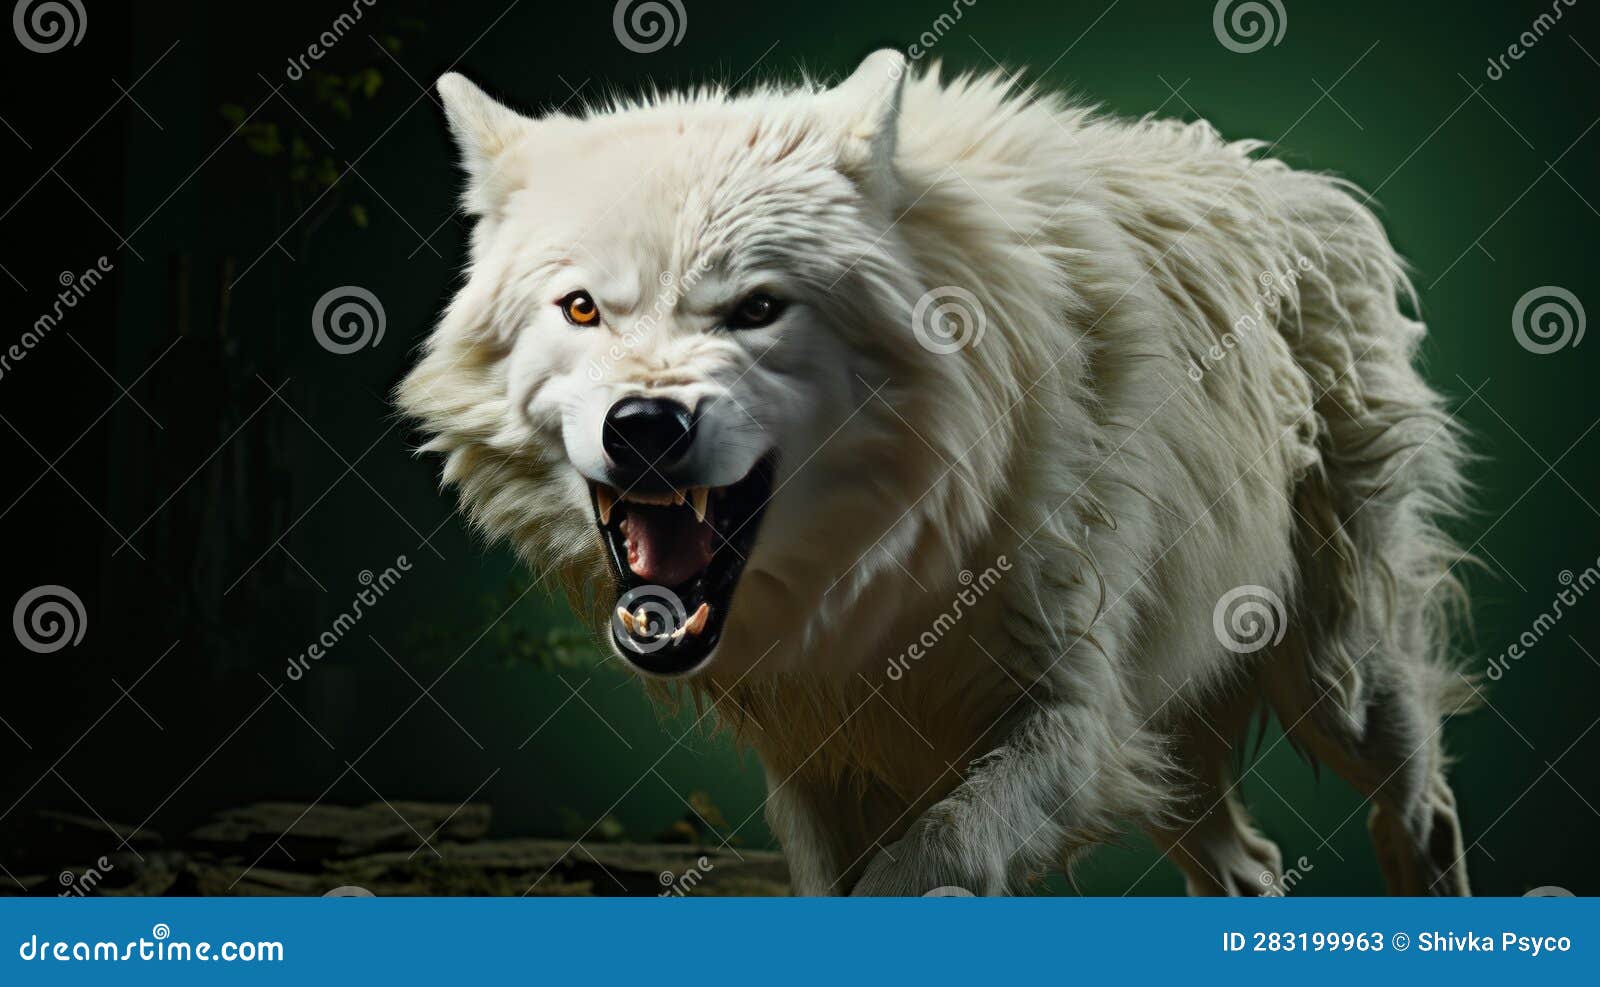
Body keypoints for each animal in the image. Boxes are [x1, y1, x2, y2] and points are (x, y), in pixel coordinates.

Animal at [399, 50, 1475, 896]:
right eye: (581, 308)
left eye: (758, 308)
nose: (646, 427)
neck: (885, 564)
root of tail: (1293, 182)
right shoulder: (820, 765)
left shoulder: (1072, 715)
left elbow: (933, 860)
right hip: (1170, 729)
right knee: (1250, 865)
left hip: (1336, 681)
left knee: (1423, 809)